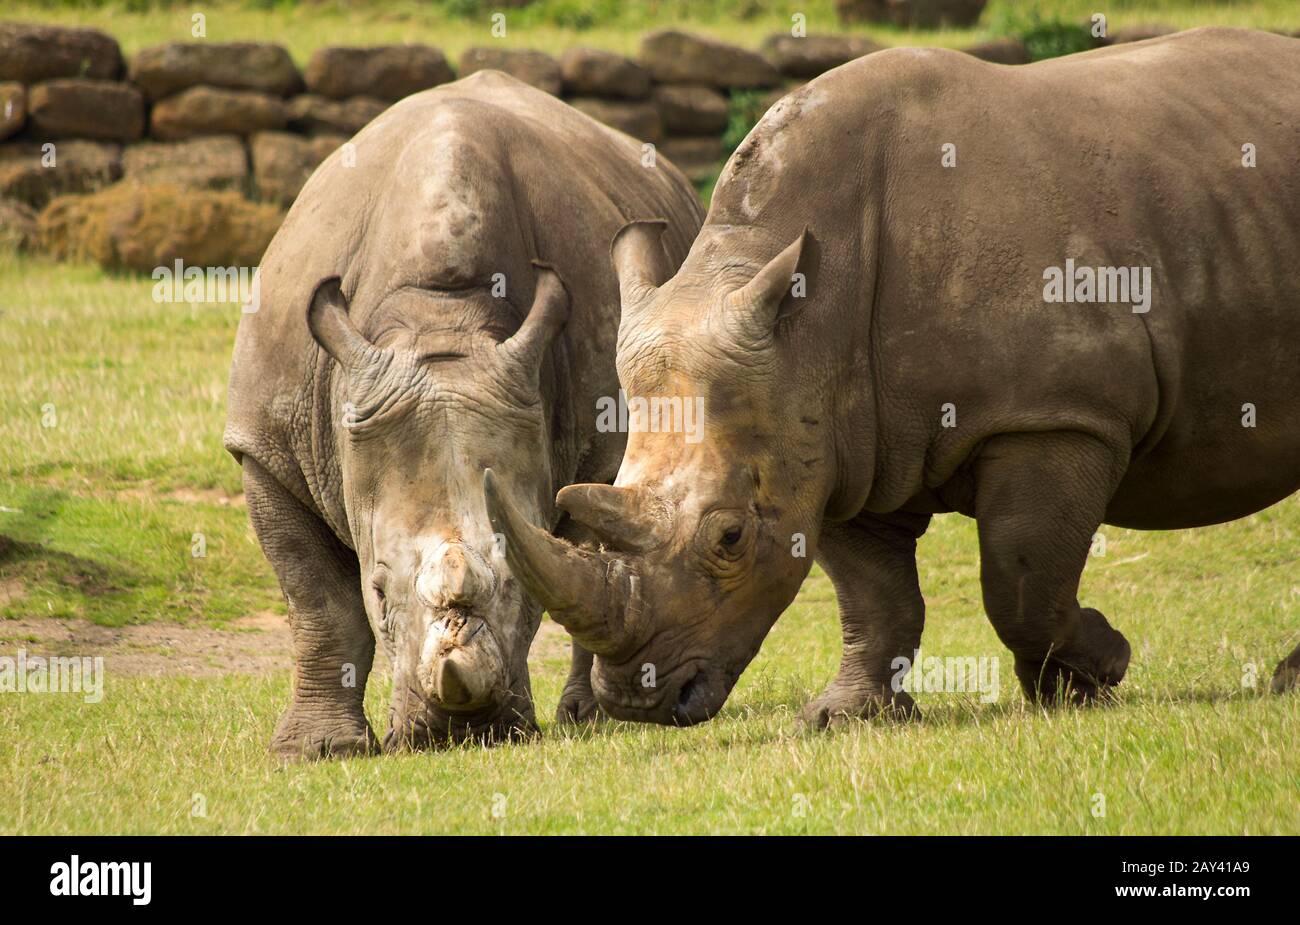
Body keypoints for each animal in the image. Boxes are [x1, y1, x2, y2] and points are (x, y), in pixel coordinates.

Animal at [225, 71, 702, 757]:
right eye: (379, 590)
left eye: (523, 592)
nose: (462, 729)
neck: (440, 319)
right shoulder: (267, 447)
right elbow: (318, 604)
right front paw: (316, 751)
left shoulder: (604, 441)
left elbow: (596, 564)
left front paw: (594, 720)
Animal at [486, 29, 1300, 726]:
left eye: (730, 537)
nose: (638, 701)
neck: (809, 318)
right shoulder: (831, 434)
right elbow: (871, 593)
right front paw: (843, 716)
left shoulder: (1056, 413)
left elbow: (1021, 575)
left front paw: (1091, 677)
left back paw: (1282, 682)